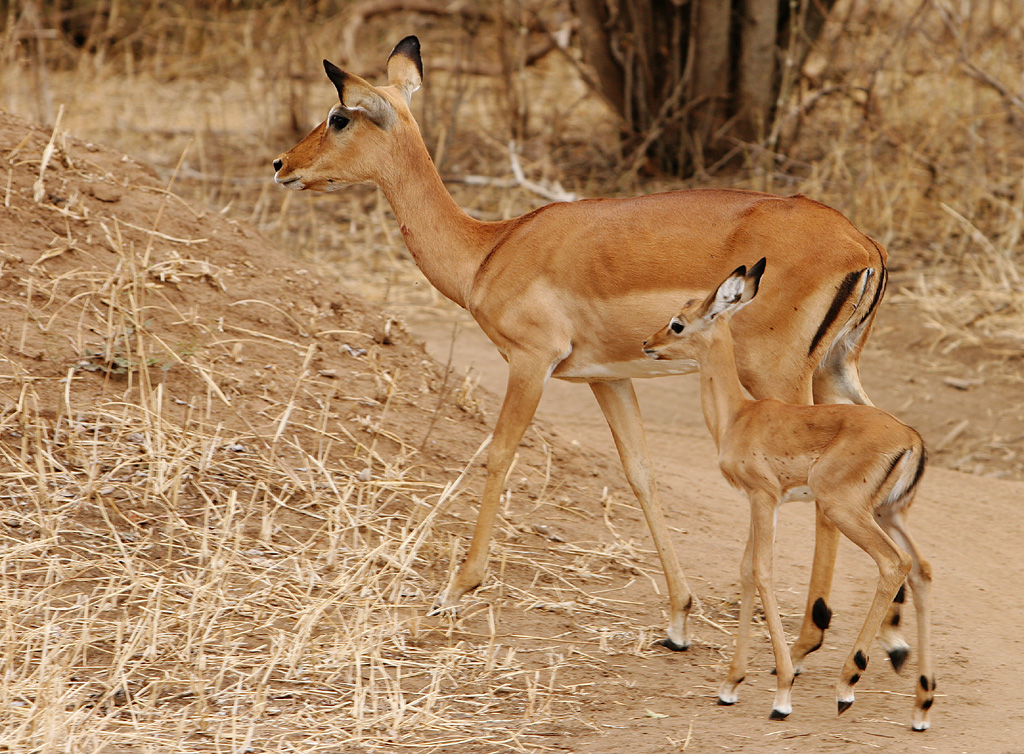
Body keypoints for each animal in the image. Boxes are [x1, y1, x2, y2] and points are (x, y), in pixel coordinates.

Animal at [273, 36, 890, 660]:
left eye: (340, 117)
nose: (282, 165)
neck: (490, 251)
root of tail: (864, 246)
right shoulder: (607, 377)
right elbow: (640, 473)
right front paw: (678, 620)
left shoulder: (531, 362)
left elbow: (498, 454)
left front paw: (454, 589)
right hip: (837, 371)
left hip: (781, 378)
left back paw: (810, 635)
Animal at [643, 259, 933, 729]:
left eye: (678, 323)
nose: (648, 343)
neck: (737, 416)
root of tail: (911, 439)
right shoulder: (757, 502)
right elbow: (746, 571)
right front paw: (729, 687)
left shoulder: (764, 498)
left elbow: (763, 572)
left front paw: (781, 695)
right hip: (889, 513)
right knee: (923, 570)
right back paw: (922, 705)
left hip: (845, 511)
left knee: (896, 564)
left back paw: (847, 686)